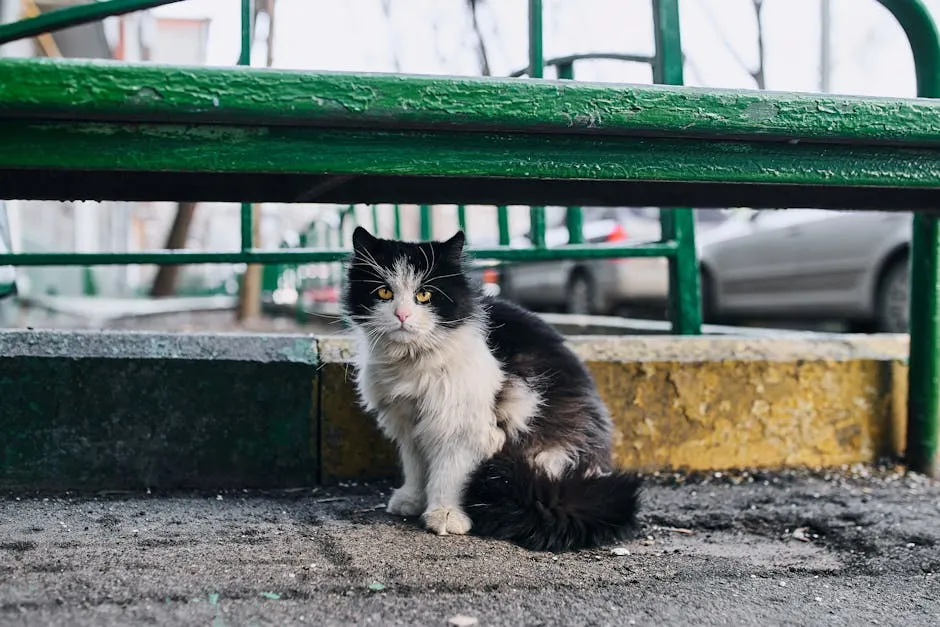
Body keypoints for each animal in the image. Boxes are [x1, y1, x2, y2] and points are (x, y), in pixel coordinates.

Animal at [342, 227, 644, 556]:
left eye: (424, 294)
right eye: (384, 293)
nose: (402, 316)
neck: (412, 362)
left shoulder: (463, 427)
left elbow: (450, 473)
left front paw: (445, 514)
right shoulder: (408, 423)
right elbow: (415, 467)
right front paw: (412, 499)